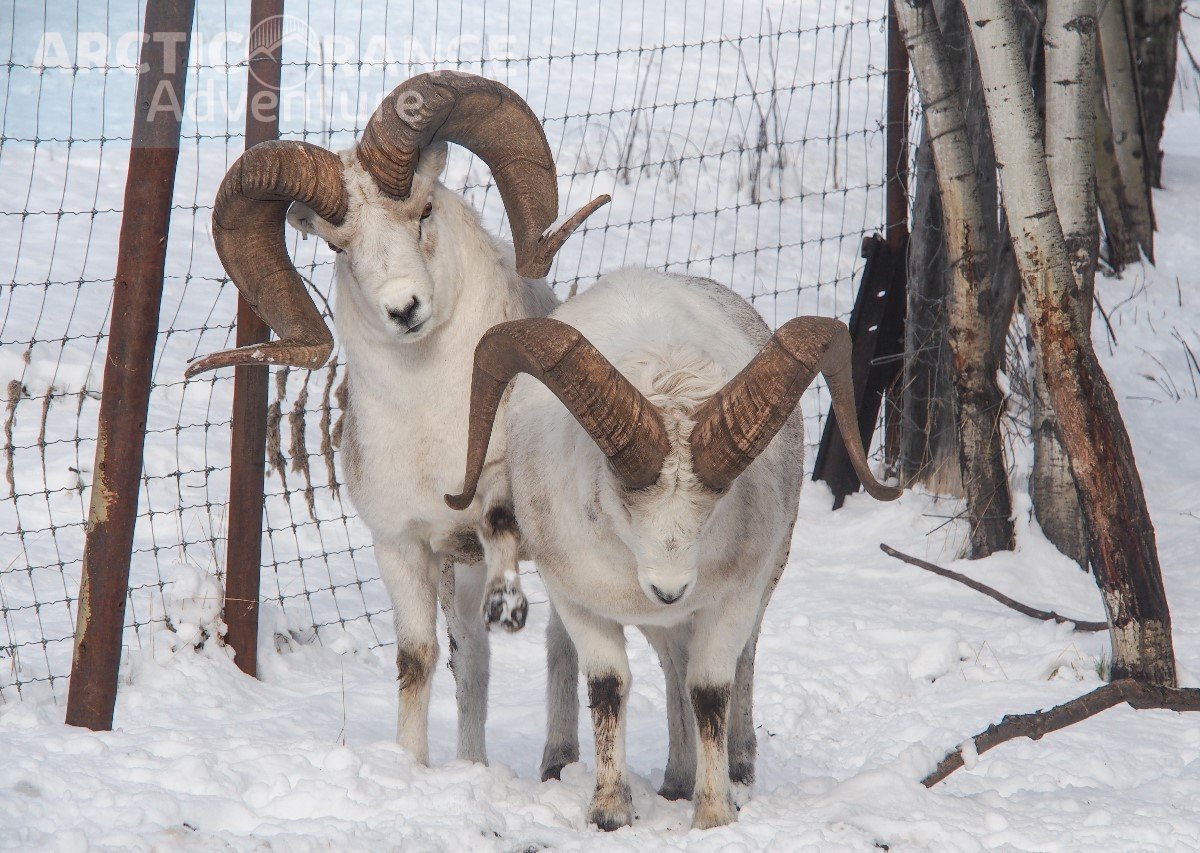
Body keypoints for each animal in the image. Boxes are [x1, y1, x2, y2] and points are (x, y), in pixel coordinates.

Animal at [186, 71, 608, 769]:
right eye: (339, 245)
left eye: (424, 210)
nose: (404, 309)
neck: (430, 429)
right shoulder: (402, 549)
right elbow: (421, 660)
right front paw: (413, 764)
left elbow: (500, 531)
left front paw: (509, 605)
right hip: (456, 572)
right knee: (474, 662)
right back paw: (474, 765)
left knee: (566, 644)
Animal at [446, 270, 902, 829]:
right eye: (620, 495)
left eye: (716, 499)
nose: (670, 590)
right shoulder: (579, 604)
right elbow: (609, 687)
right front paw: (610, 812)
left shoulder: (733, 601)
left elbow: (709, 691)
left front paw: (714, 813)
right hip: (660, 623)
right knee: (671, 668)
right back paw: (675, 782)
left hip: (755, 588)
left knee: (733, 665)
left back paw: (732, 772)